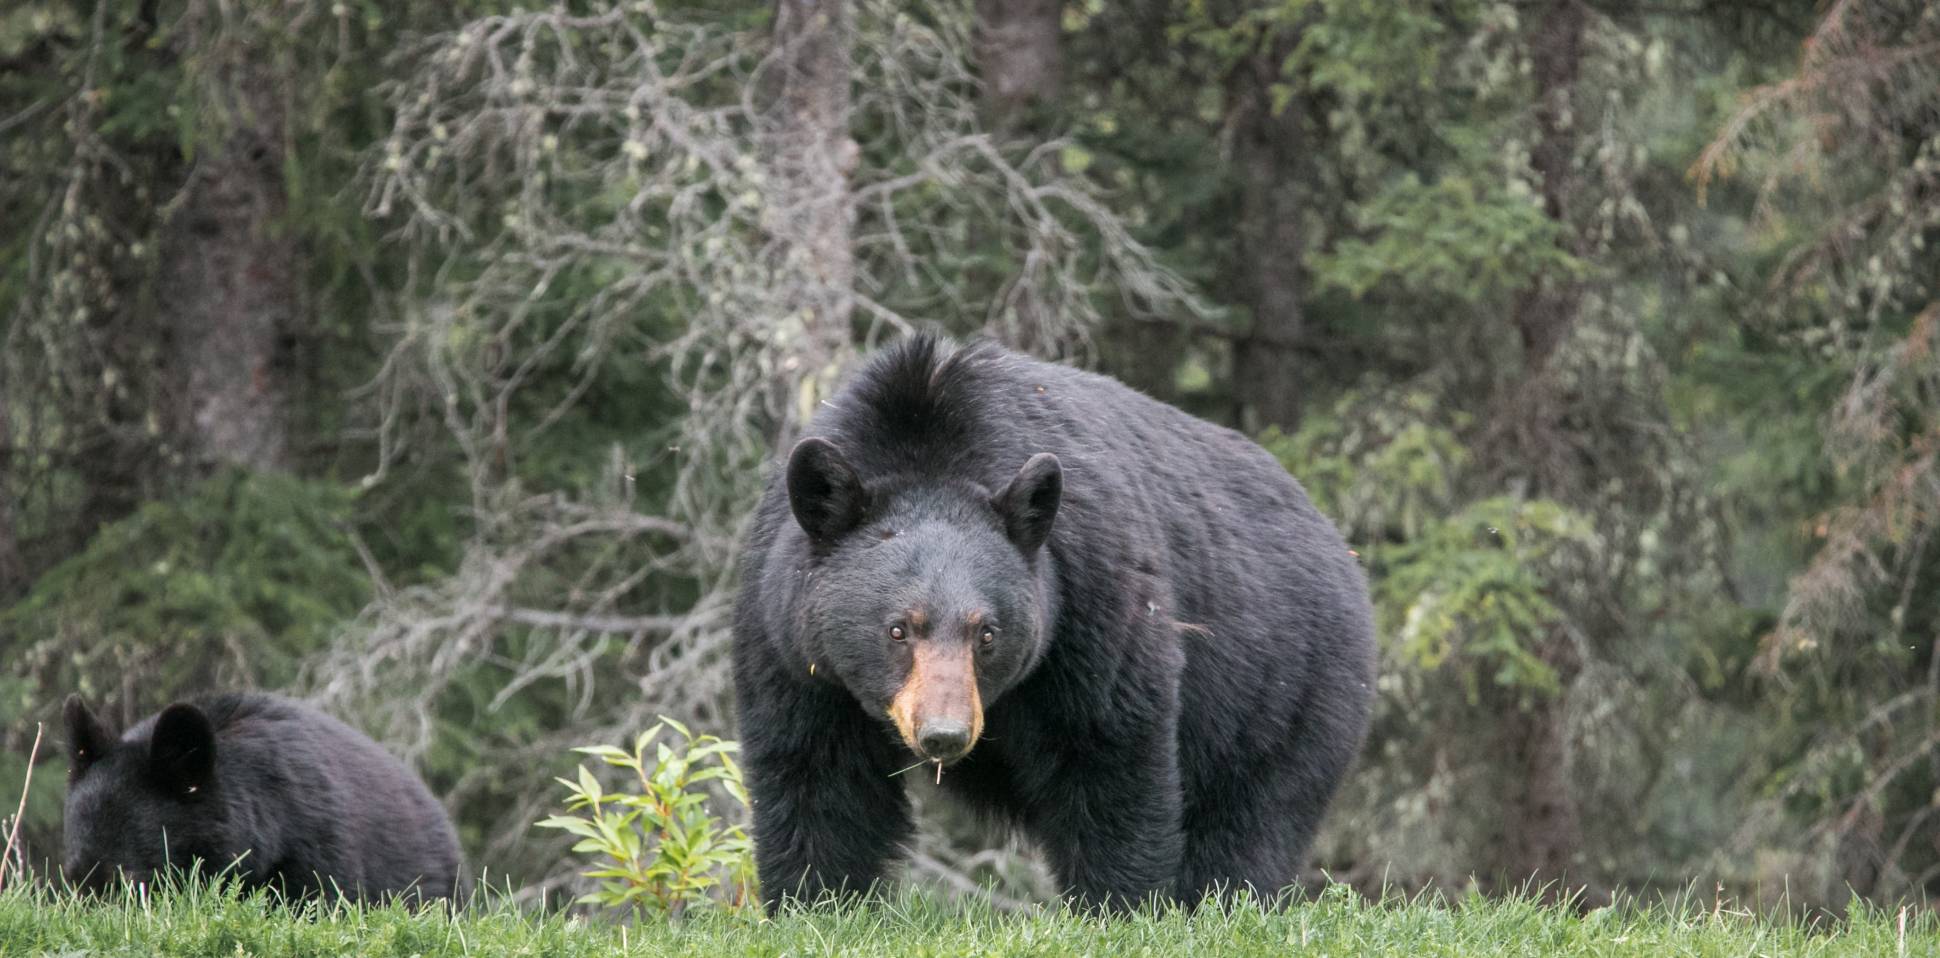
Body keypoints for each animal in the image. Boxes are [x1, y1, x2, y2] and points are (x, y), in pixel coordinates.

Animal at [732, 335, 1376, 910]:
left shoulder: (1091, 595)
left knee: (1252, 820)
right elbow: (817, 772)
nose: (944, 734)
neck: (927, 435)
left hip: (1288, 689)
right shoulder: (787, 634)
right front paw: (815, 901)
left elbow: (1108, 752)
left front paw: (1118, 906)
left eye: (986, 633)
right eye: (898, 629)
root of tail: (1338, 544)